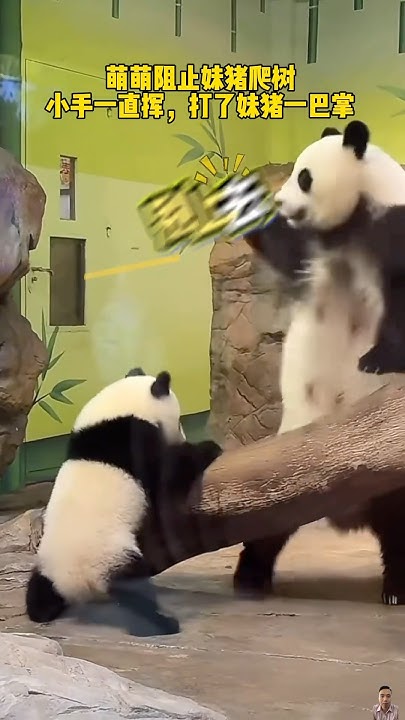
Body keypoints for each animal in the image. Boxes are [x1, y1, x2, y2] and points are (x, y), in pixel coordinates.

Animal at [26, 368, 222, 629]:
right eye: (180, 420)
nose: (182, 436)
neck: (116, 412)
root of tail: (78, 584)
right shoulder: (135, 439)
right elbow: (166, 474)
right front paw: (209, 448)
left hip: (49, 563)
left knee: (38, 589)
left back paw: (40, 610)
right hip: (113, 557)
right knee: (137, 589)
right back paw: (161, 623)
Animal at [234, 119, 405, 605]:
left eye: (305, 176)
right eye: (292, 172)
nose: (281, 200)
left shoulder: (392, 225)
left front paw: (376, 359)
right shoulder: (314, 249)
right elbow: (281, 246)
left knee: (400, 528)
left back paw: (397, 587)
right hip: (284, 465)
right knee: (265, 519)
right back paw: (250, 575)